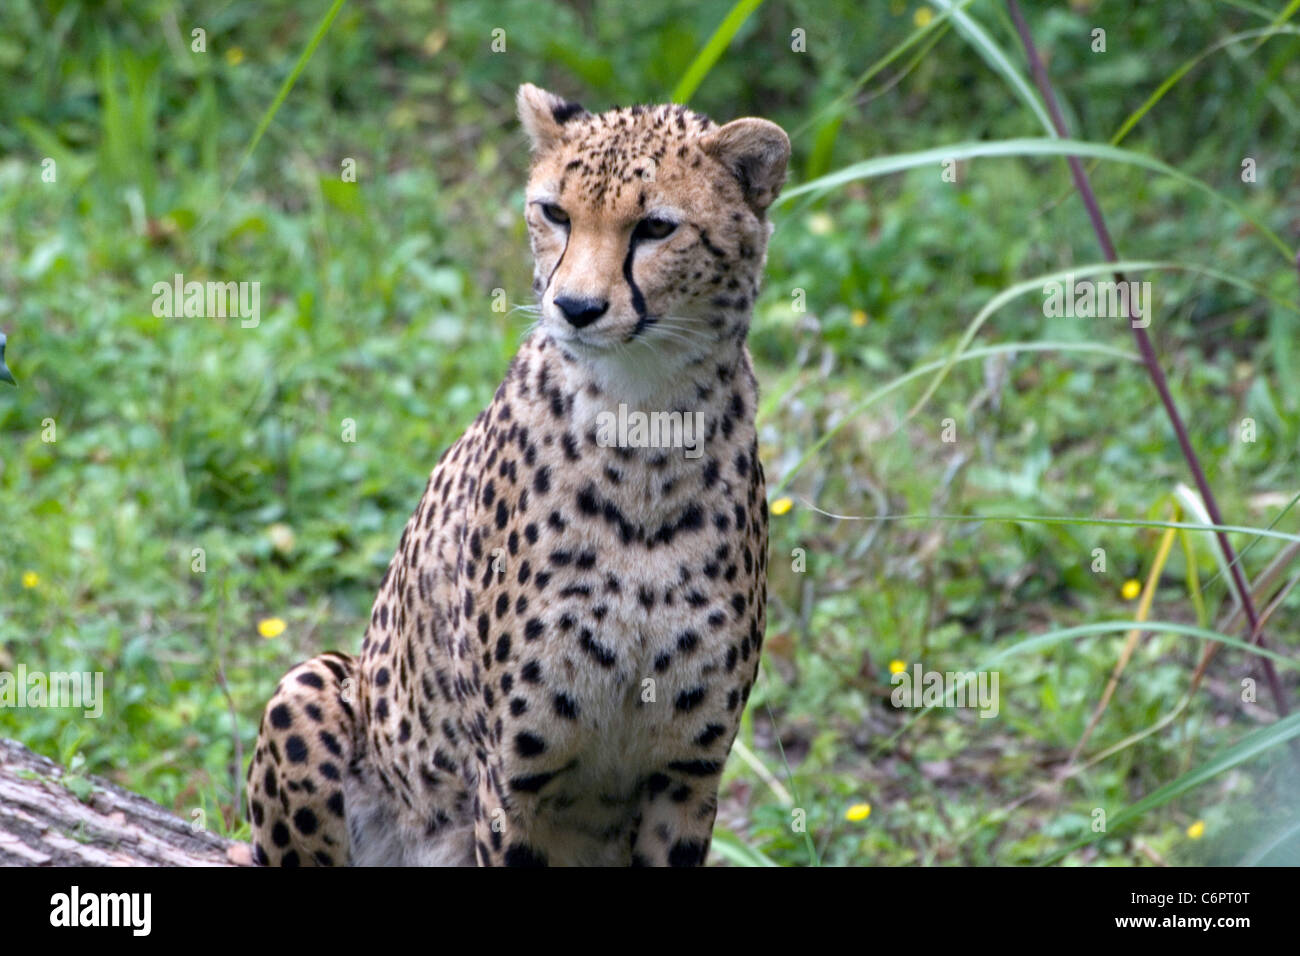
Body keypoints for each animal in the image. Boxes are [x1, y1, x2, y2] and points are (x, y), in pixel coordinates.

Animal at [245, 84, 789, 866]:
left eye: (657, 227)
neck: (644, 423)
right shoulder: (513, 777)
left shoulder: (686, 776)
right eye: (554, 212)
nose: (577, 307)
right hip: (313, 684)